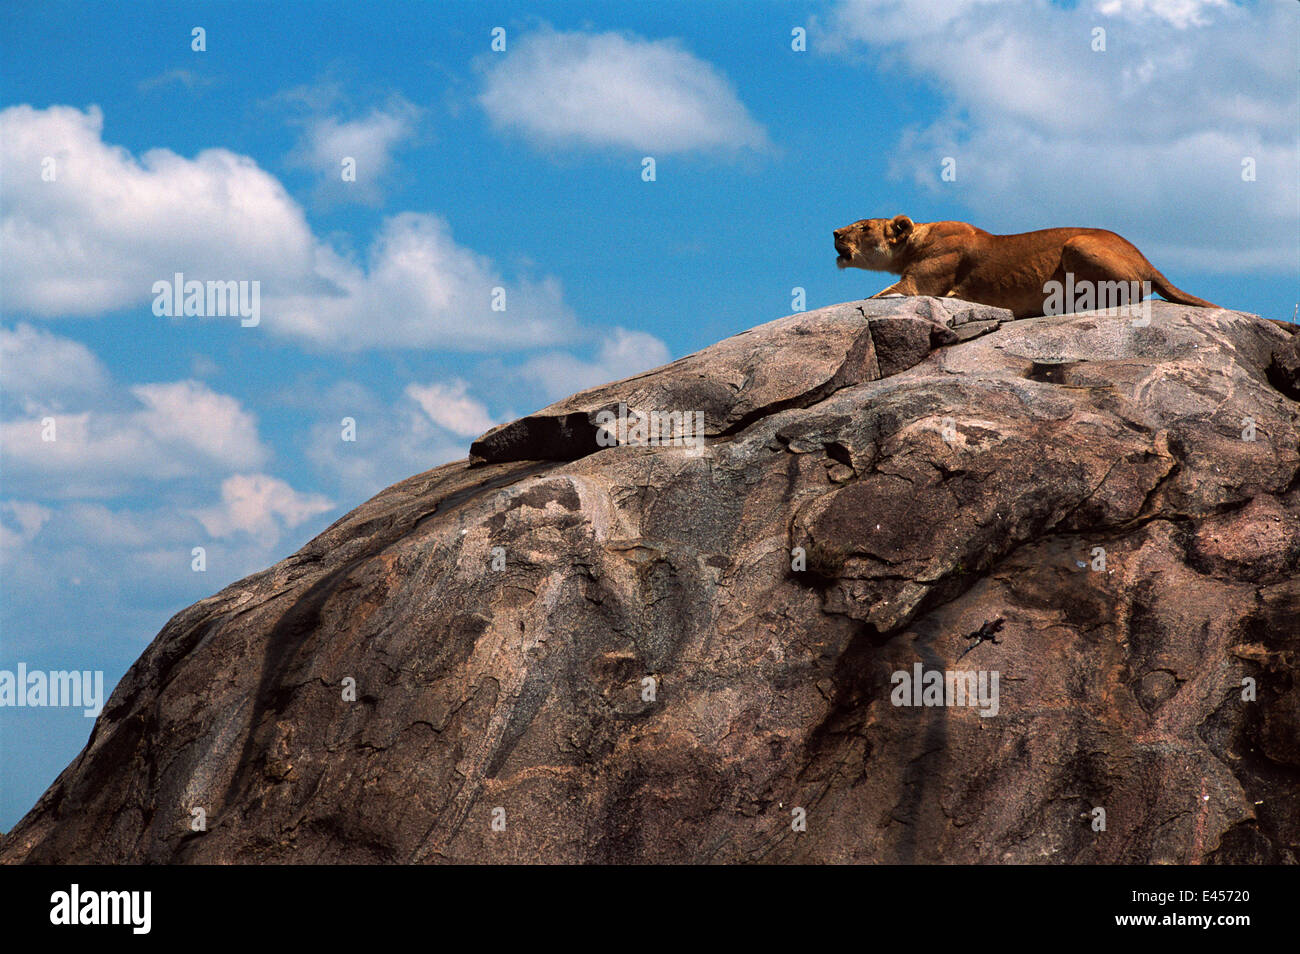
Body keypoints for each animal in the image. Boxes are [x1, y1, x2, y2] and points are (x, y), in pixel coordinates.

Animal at [833, 215, 1218, 319]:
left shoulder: (920, 286)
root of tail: (1148, 261)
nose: (834, 232)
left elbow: (877, 296)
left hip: (1077, 244)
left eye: (864, 227)